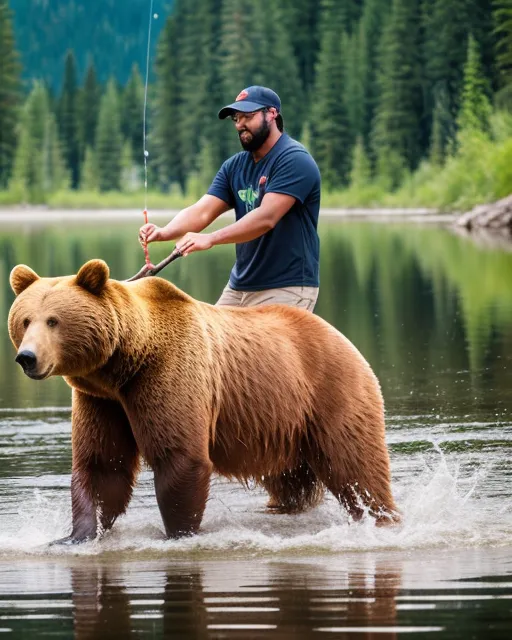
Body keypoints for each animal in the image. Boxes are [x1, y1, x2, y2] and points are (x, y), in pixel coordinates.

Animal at [8, 259, 399, 543]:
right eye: (25, 320)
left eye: (53, 321)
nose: (27, 357)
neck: (124, 364)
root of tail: (342, 337)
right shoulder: (102, 400)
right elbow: (103, 466)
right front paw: (76, 535)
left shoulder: (167, 373)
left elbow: (180, 457)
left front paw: (177, 533)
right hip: (285, 424)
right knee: (291, 481)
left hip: (332, 393)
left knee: (356, 466)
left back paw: (382, 518)